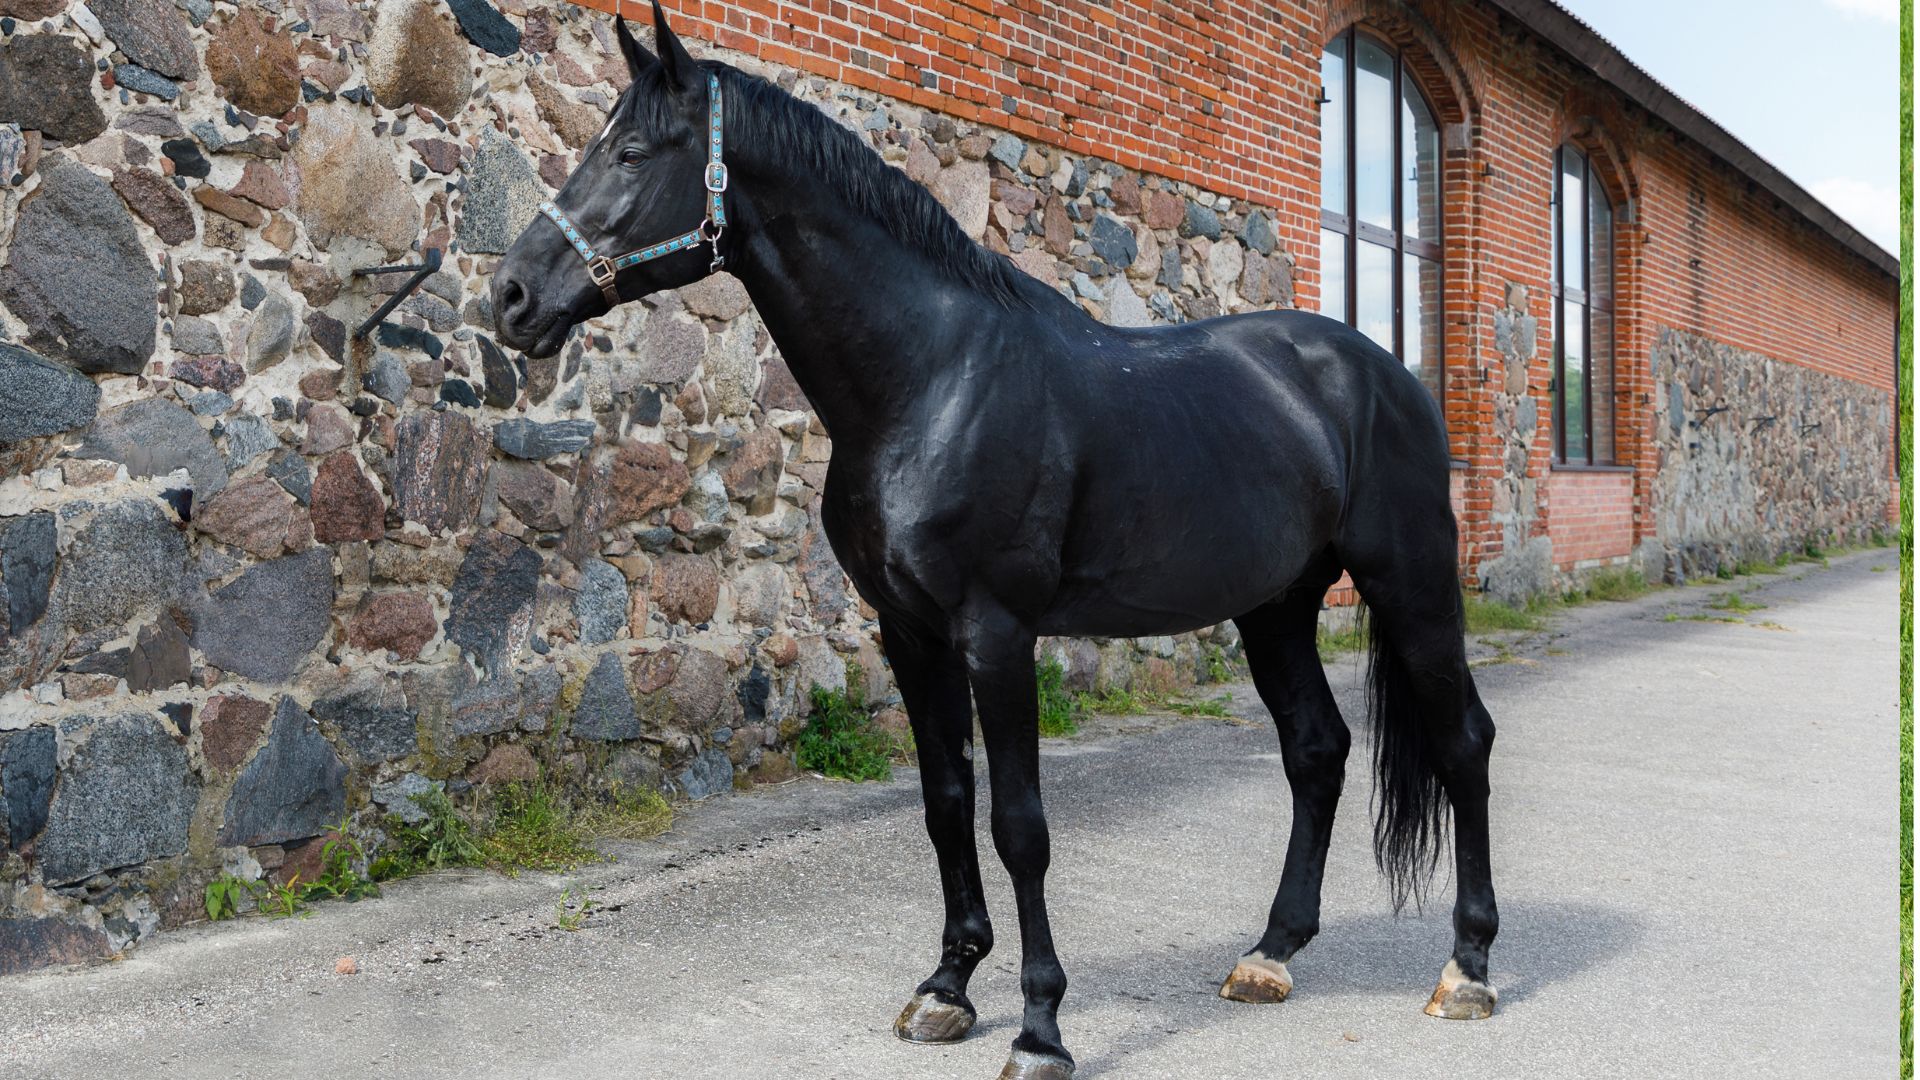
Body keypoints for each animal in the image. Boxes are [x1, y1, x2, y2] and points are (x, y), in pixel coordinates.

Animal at [491, 6, 1499, 1077]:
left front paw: (1040, 1027)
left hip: (1412, 587)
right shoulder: (910, 632)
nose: (510, 296)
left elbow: (1020, 826)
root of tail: (1385, 374)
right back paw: (1270, 954)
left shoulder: (997, 633)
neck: (932, 381)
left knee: (1463, 742)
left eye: (634, 152)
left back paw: (1468, 969)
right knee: (1316, 749)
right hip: (1277, 607)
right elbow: (945, 801)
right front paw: (945, 987)